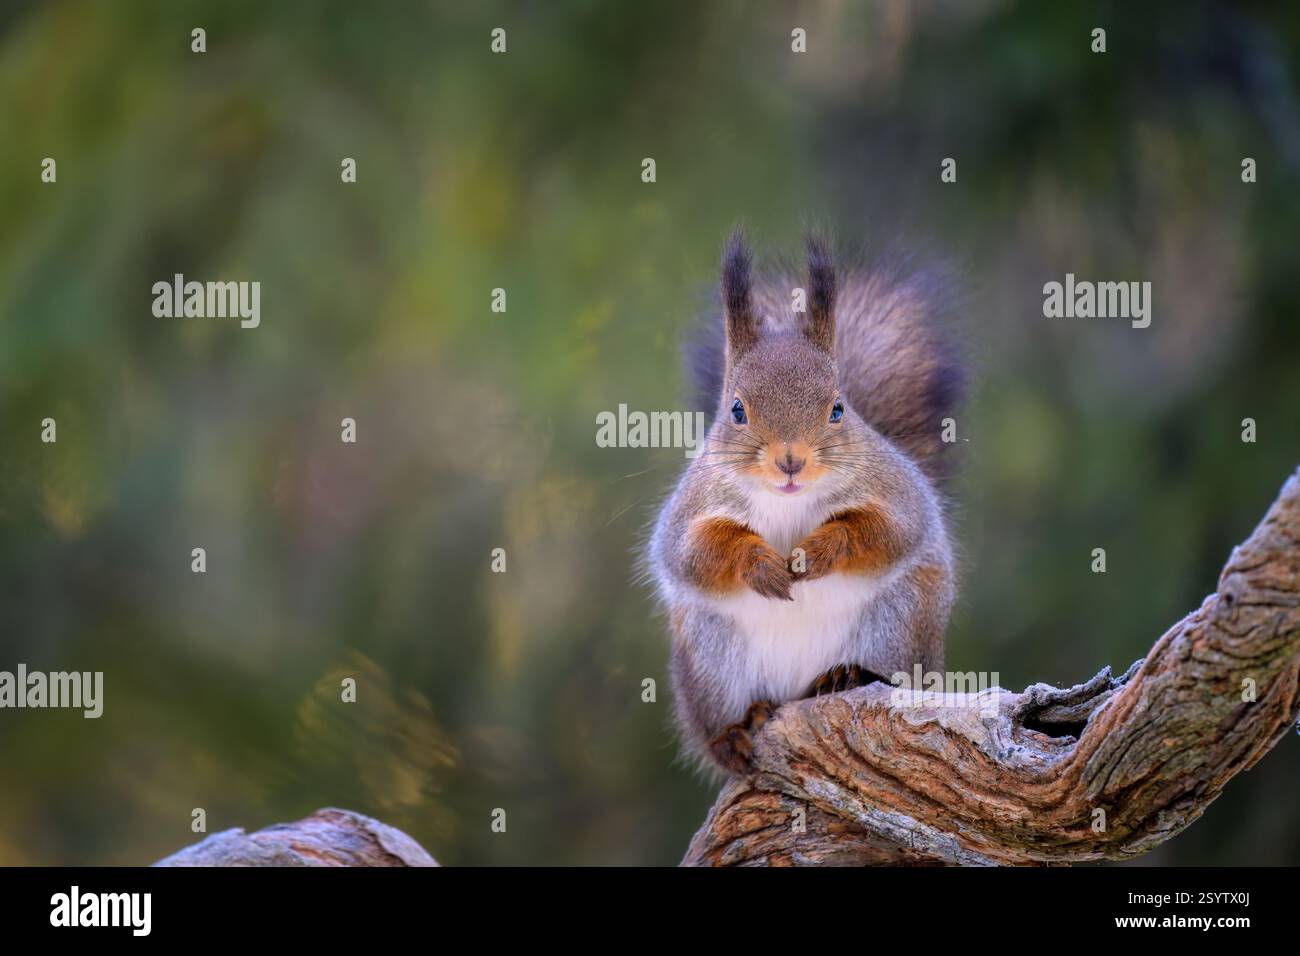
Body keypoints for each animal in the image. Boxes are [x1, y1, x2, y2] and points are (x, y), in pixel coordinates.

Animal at [647, 228, 968, 775]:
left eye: (838, 408)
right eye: (736, 410)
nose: (790, 460)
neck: (788, 504)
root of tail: (795, 692)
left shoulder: (896, 492)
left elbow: (889, 531)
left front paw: (818, 551)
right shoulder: (691, 508)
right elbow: (691, 553)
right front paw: (759, 563)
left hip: (900, 622)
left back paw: (848, 676)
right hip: (711, 662)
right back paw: (738, 731)